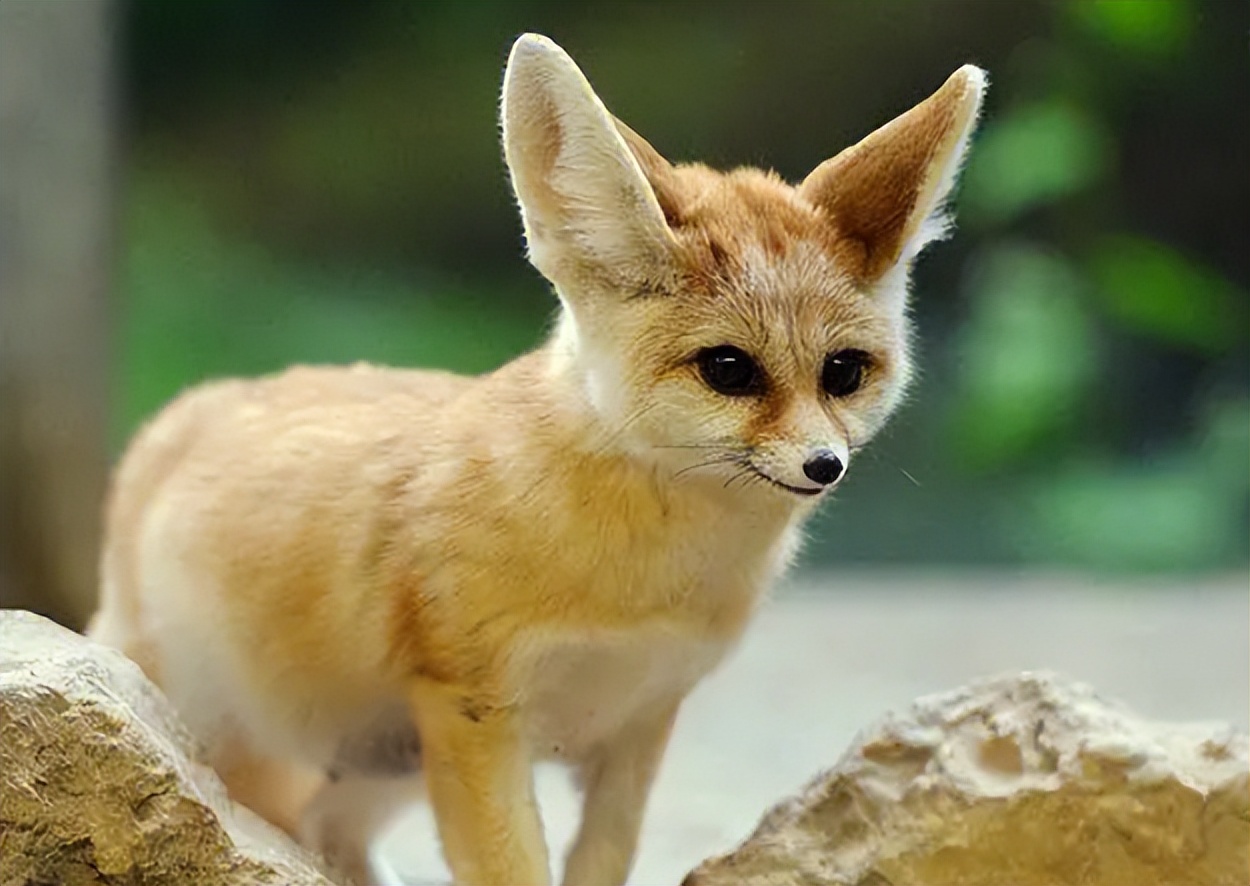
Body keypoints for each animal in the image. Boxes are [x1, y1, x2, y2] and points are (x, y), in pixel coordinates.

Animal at [88, 32, 986, 886]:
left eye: (844, 373)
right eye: (729, 369)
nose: (825, 465)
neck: (645, 586)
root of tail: (178, 418)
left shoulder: (640, 723)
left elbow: (602, 862)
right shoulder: (475, 716)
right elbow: (511, 869)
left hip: (385, 764)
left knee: (329, 832)